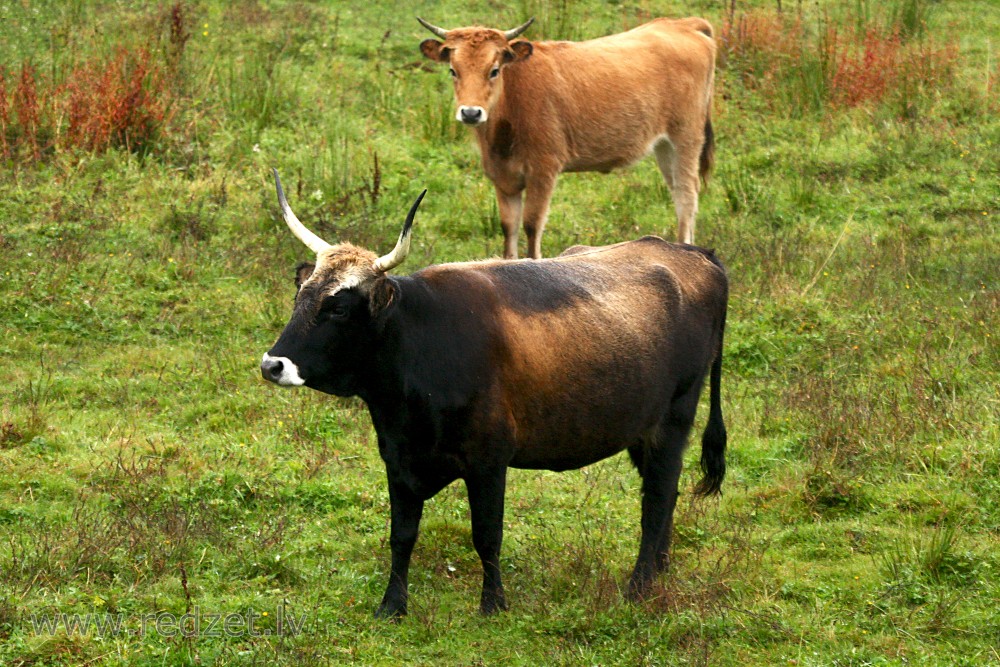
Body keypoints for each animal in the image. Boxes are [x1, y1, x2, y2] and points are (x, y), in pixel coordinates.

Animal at [260, 169, 728, 618]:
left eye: (338, 308)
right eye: (301, 296)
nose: (272, 365)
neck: (421, 339)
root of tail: (693, 253)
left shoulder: (488, 460)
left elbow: (486, 535)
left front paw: (492, 604)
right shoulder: (398, 458)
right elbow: (402, 536)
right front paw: (392, 606)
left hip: (674, 417)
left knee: (658, 498)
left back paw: (639, 587)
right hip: (640, 427)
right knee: (665, 492)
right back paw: (659, 571)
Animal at [417, 16, 717, 258]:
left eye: (494, 70)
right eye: (453, 70)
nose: (470, 112)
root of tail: (682, 23)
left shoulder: (544, 169)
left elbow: (532, 225)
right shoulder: (503, 177)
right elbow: (508, 228)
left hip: (687, 135)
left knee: (687, 194)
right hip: (664, 145)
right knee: (676, 189)